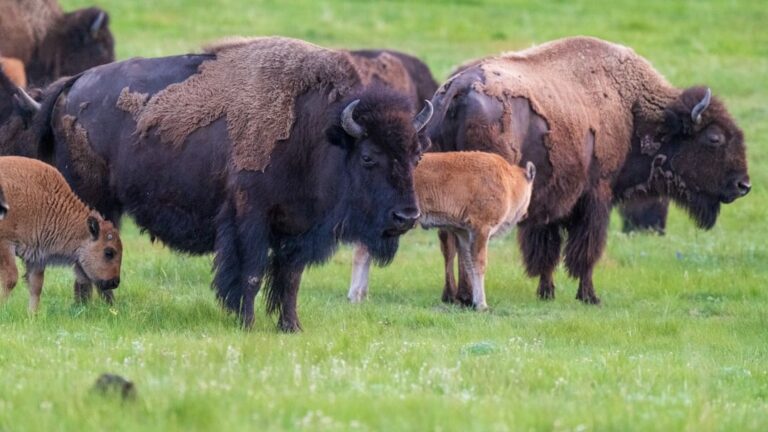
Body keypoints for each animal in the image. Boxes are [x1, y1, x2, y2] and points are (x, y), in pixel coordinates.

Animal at [3, 36, 434, 331]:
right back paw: (91, 309)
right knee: (87, 253)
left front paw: (291, 327)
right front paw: (247, 324)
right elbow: (250, 274)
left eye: (417, 155)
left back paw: (103, 308)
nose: (406, 216)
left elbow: (289, 279)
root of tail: (73, 84)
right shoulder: (249, 219)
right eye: (369, 157)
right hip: (93, 196)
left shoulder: (296, 228)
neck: (317, 133)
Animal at [428, 36, 750, 304]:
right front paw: (589, 296)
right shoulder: (597, 197)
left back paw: (452, 295)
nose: (743, 185)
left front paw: (547, 292)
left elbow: (547, 251)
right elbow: (586, 251)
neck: (633, 109)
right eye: (714, 138)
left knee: (448, 240)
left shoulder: (549, 204)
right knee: (466, 242)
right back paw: (467, 297)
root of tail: (456, 93)